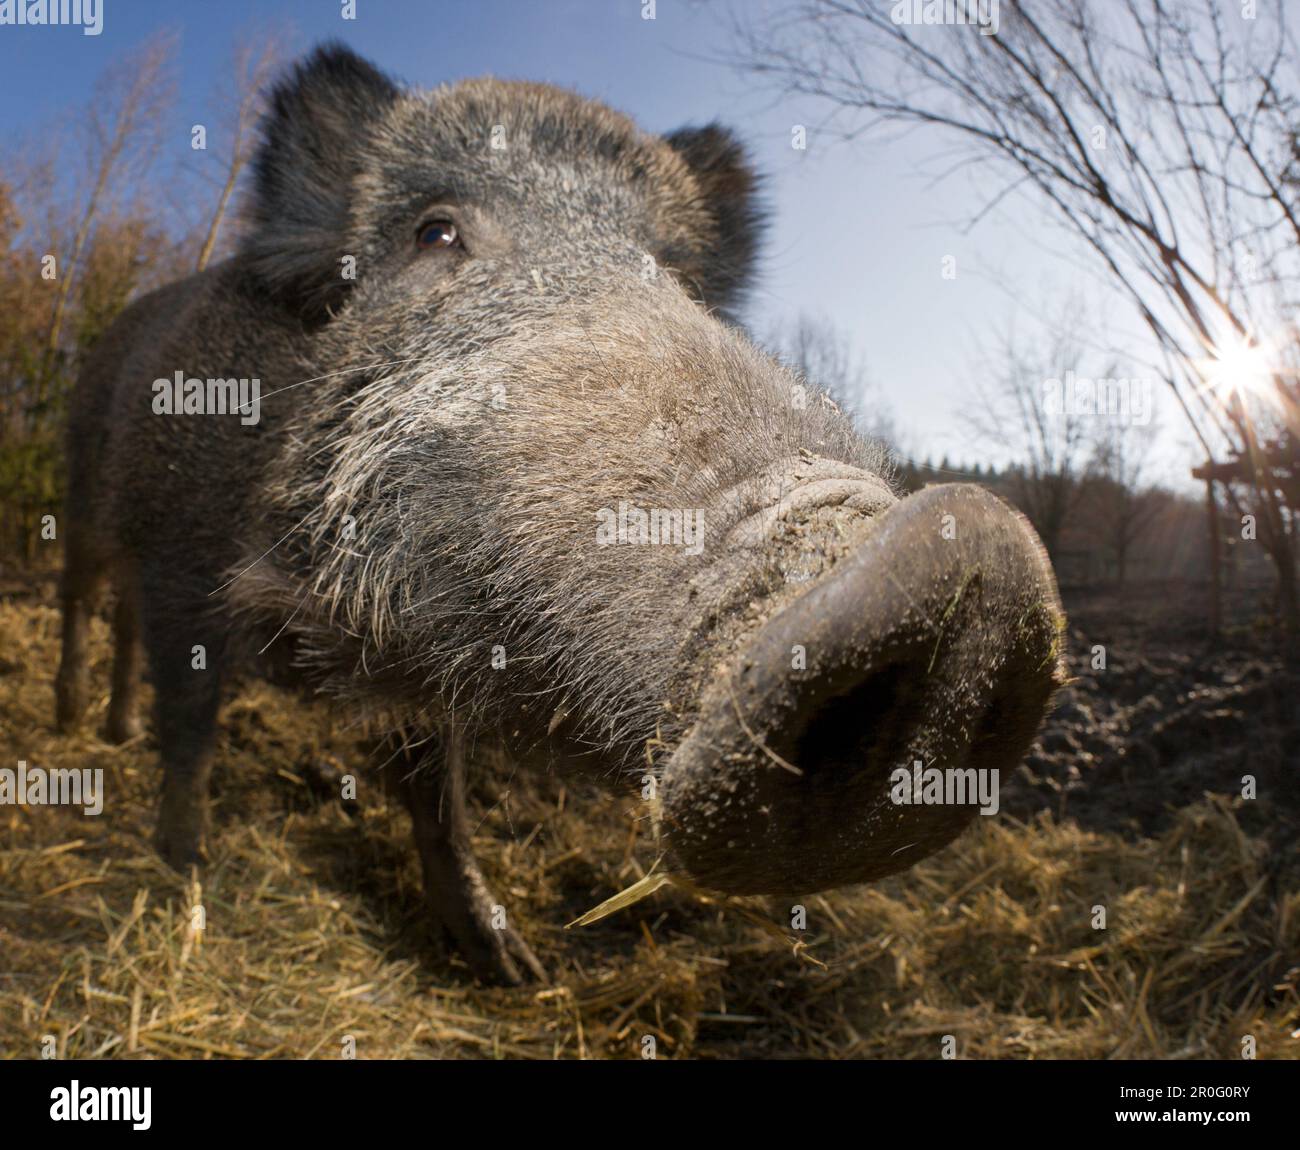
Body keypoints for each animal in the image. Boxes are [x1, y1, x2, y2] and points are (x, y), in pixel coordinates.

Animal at [54, 44, 1065, 984]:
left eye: (672, 272)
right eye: (436, 232)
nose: (971, 557)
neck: (315, 627)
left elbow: (439, 797)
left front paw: (513, 967)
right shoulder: (181, 560)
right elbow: (192, 733)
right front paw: (185, 877)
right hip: (82, 499)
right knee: (85, 607)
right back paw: (84, 731)